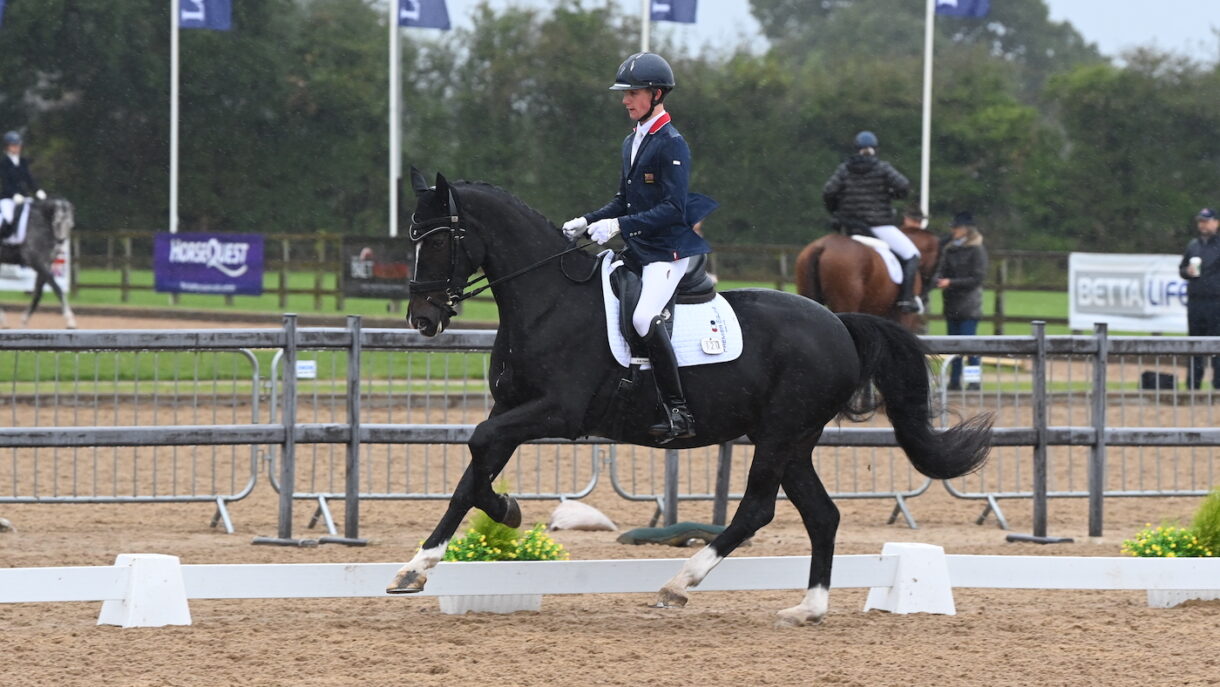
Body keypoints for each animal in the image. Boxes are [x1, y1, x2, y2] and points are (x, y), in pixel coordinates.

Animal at [0, 198, 76, 329]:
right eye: (57, 222)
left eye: (70, 224)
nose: (60, 247)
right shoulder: (37, 262)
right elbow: (57, 288)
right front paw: (70, 320)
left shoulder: (44, 264)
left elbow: (38, 294)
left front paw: (24, 322)